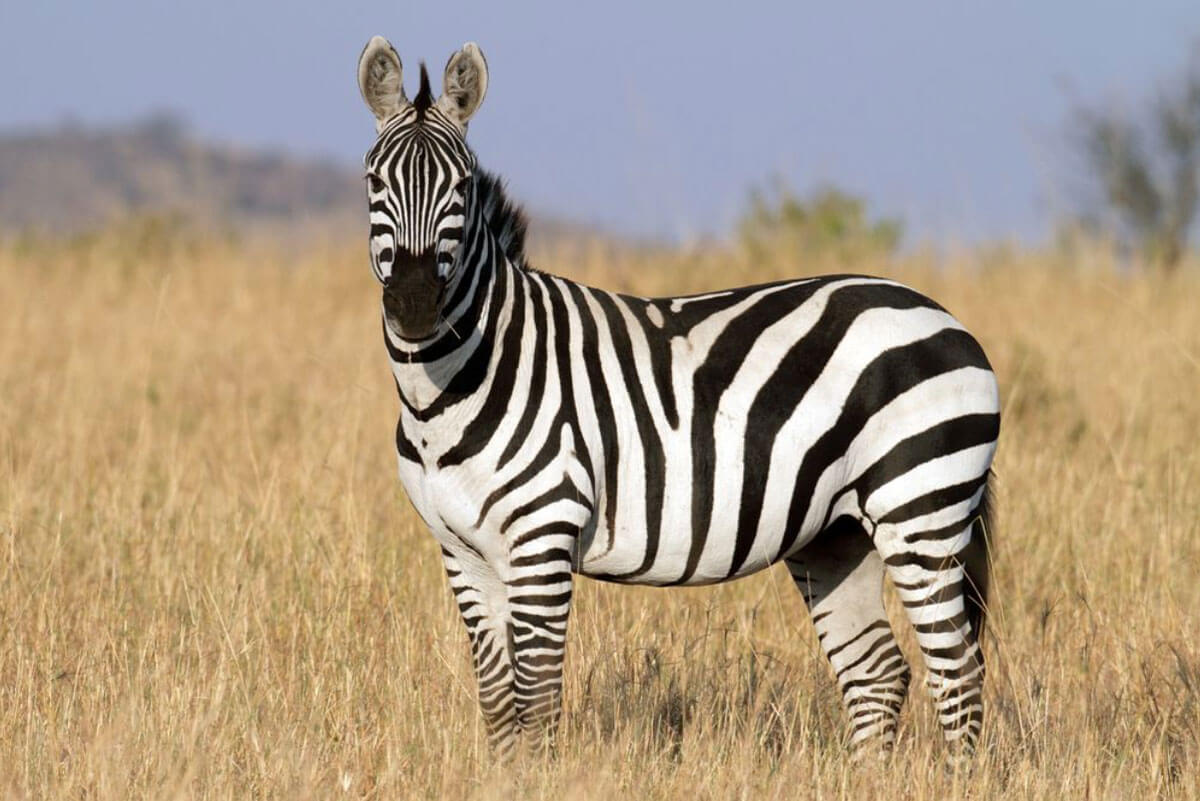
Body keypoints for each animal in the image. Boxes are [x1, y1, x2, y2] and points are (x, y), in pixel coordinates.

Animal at [356, 35, 1000, 759]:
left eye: (461, 187)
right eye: (373, 182)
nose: (414, 307)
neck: (451, 392)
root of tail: (942, 313)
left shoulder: (543, 535)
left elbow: (537, 701)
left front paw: (538, 773)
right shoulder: (462, 552)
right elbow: (498, 703)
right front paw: (503, 772)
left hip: (921, 507)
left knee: (956, 671)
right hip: (837, 531)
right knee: (879, 672)